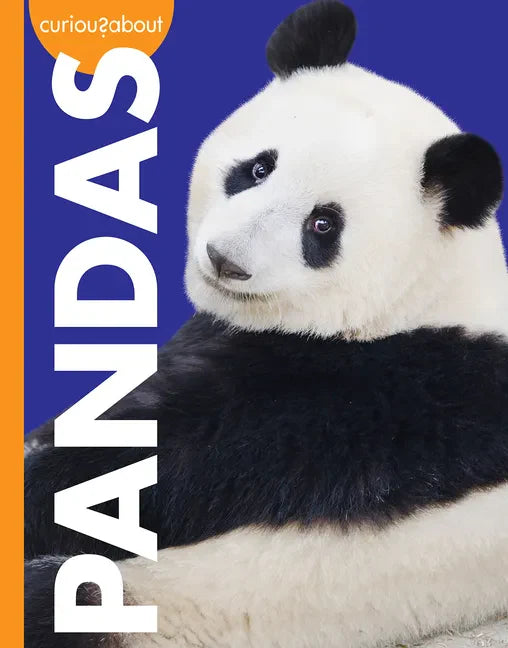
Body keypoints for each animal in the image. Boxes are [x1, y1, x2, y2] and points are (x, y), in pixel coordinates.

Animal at [25, 1, 508, 647]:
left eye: (324, 225)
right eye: (258, 168)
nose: (224, 260)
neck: (426, 297)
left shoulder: (397, 393)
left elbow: (191, 459)